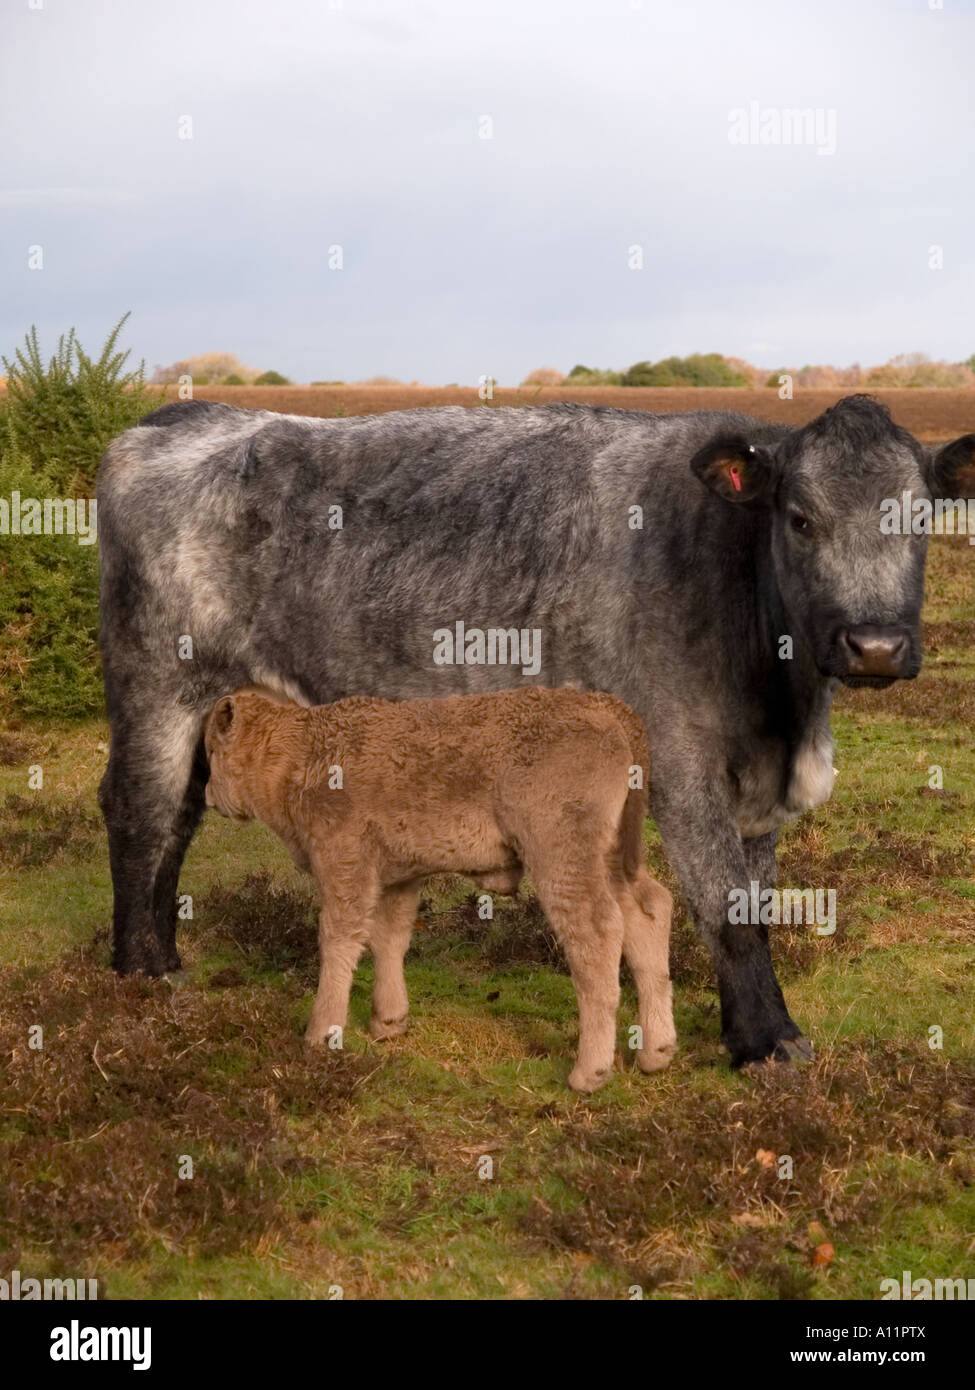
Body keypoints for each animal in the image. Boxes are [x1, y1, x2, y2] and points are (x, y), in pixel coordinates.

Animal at [202, 685, 676, 1092]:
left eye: (210, 752)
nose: (207, 793)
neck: (301, 752)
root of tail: (602, 704)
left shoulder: (344, 866)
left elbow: (339, 942)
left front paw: (322, 1032)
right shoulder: (396, 876)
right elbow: (389, 938)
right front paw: (388, 1021)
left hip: (563, 857)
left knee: (596, 934)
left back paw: (589, 1070)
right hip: (613, 861)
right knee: (649, 912)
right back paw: (657, 1050)